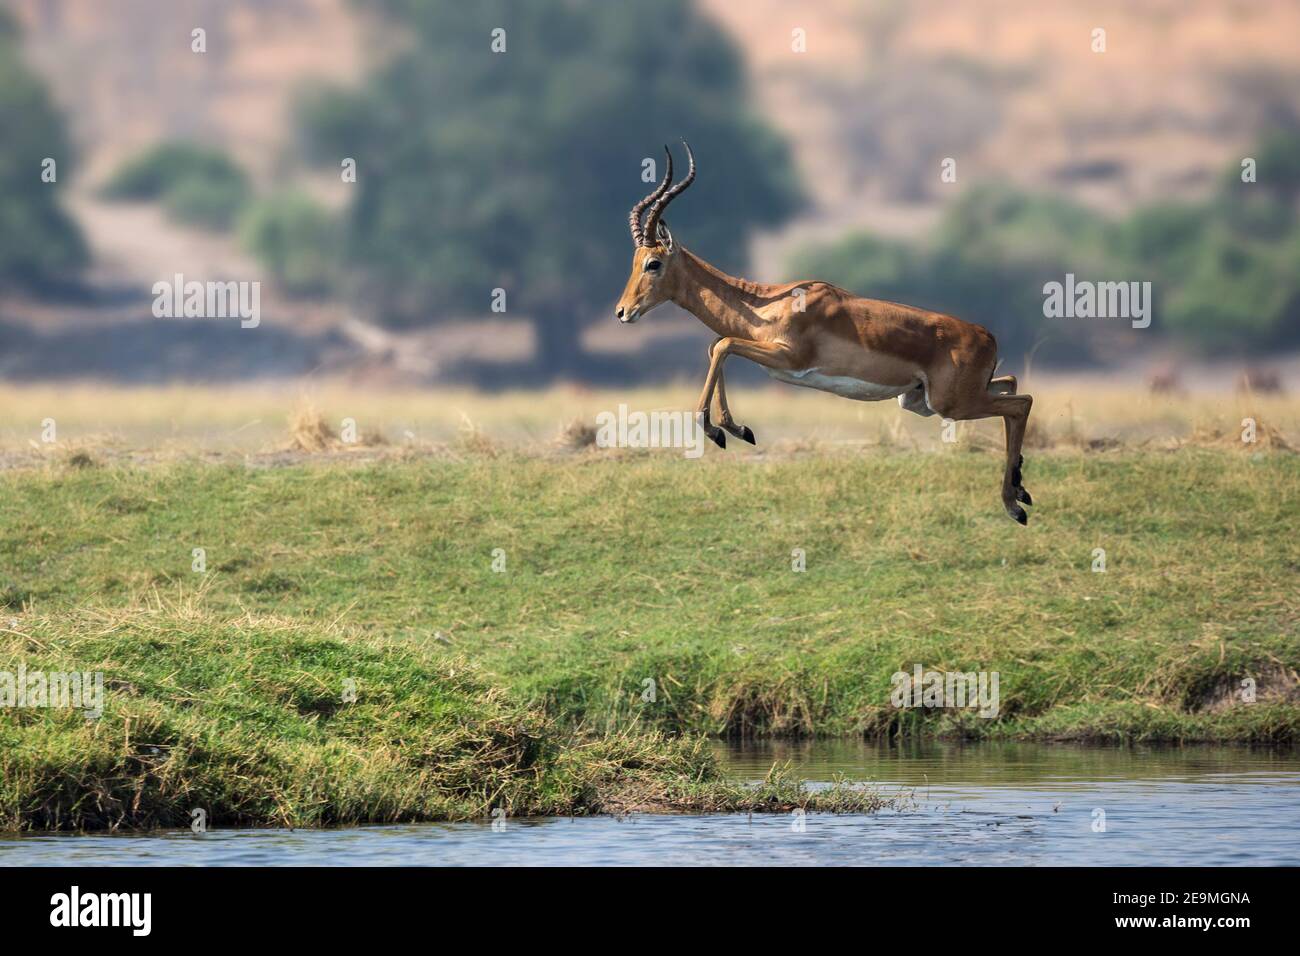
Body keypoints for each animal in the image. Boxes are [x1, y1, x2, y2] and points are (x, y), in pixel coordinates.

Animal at [615, 142, 1036, 523]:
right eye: (636, 261)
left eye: (653, 263)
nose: (623, 312)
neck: (766, 304)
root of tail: (987, 336)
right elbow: (718, 345)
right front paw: (737, 429)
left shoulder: (787, 358)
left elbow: (723, 345)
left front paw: (717, 430)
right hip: (923, 401)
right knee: (1012, 384)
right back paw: (1020, 490)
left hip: (952, 404)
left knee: (1022, 402)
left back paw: (1014, 506)